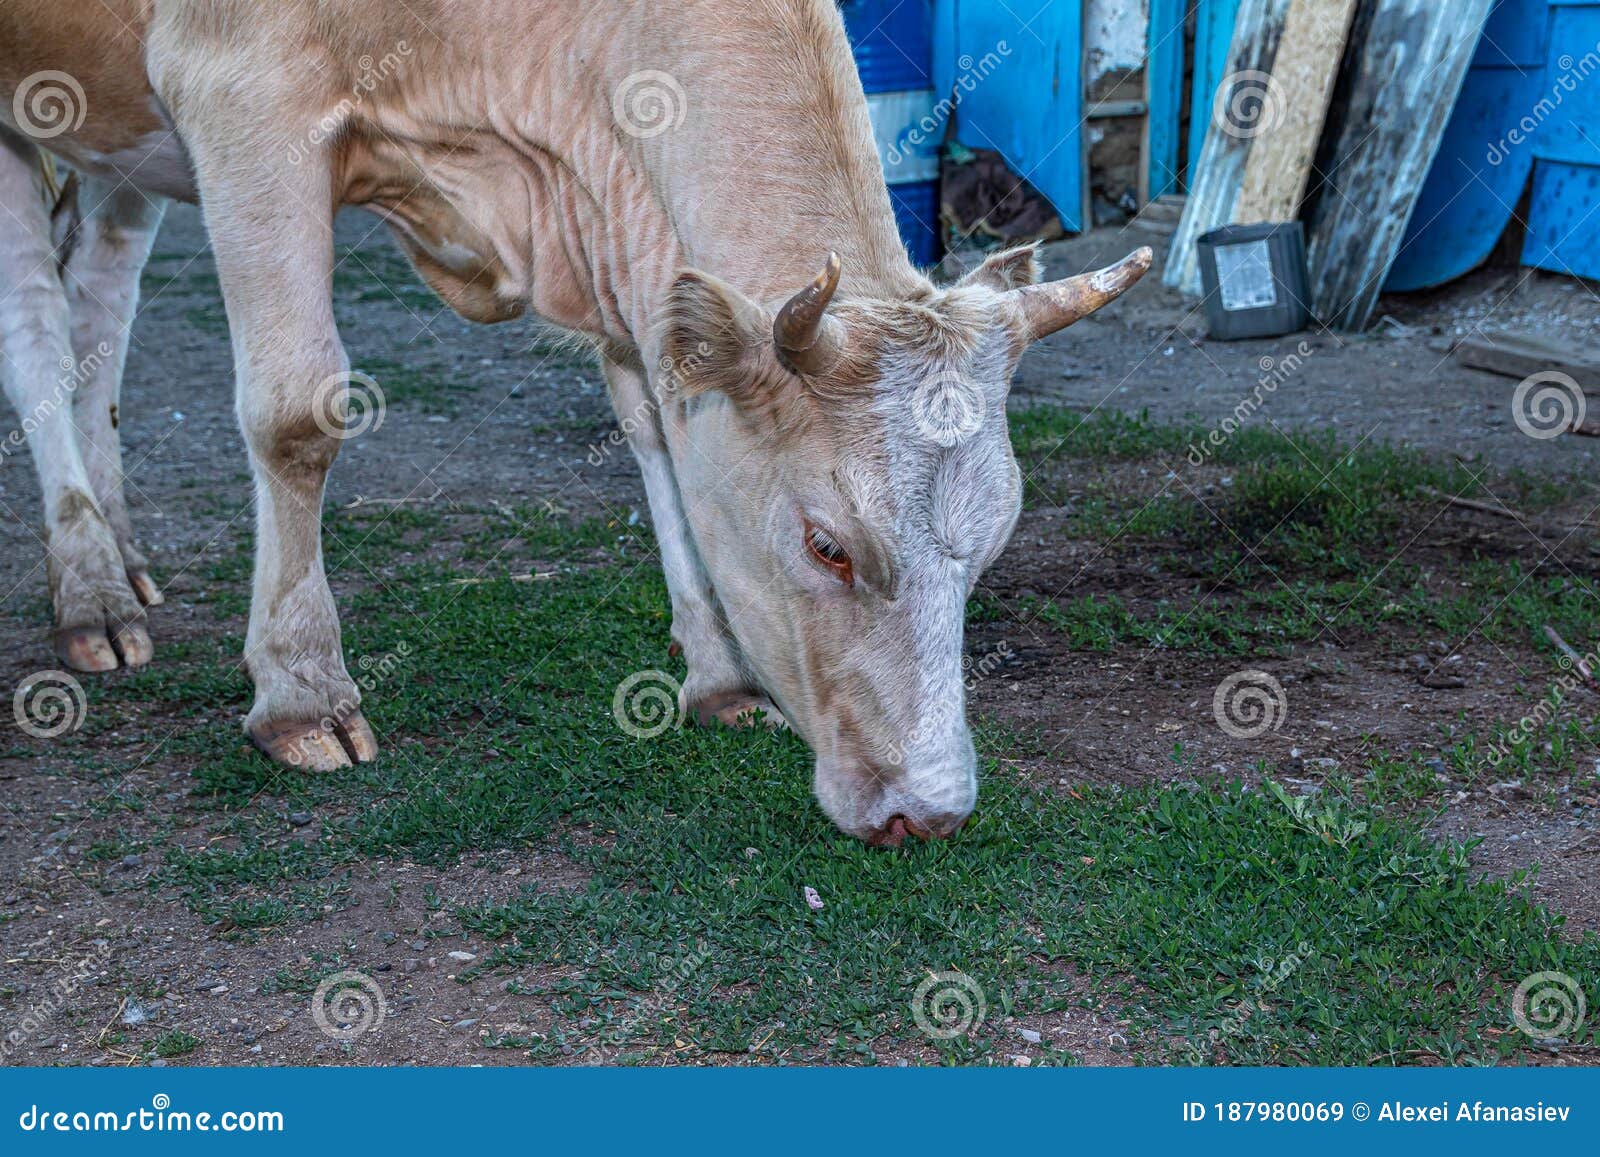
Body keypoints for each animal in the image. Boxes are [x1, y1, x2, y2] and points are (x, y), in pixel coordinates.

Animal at [0, 0, 1149, 844]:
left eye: (993, 544)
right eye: (828, 545)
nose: (931, 811)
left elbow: (654, 425)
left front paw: (718, 676)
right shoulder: (242, 96)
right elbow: (296, 413)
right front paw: (301, 693)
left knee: (99, 307)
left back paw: (120, 557)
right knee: (38, 331)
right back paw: (89, 591)